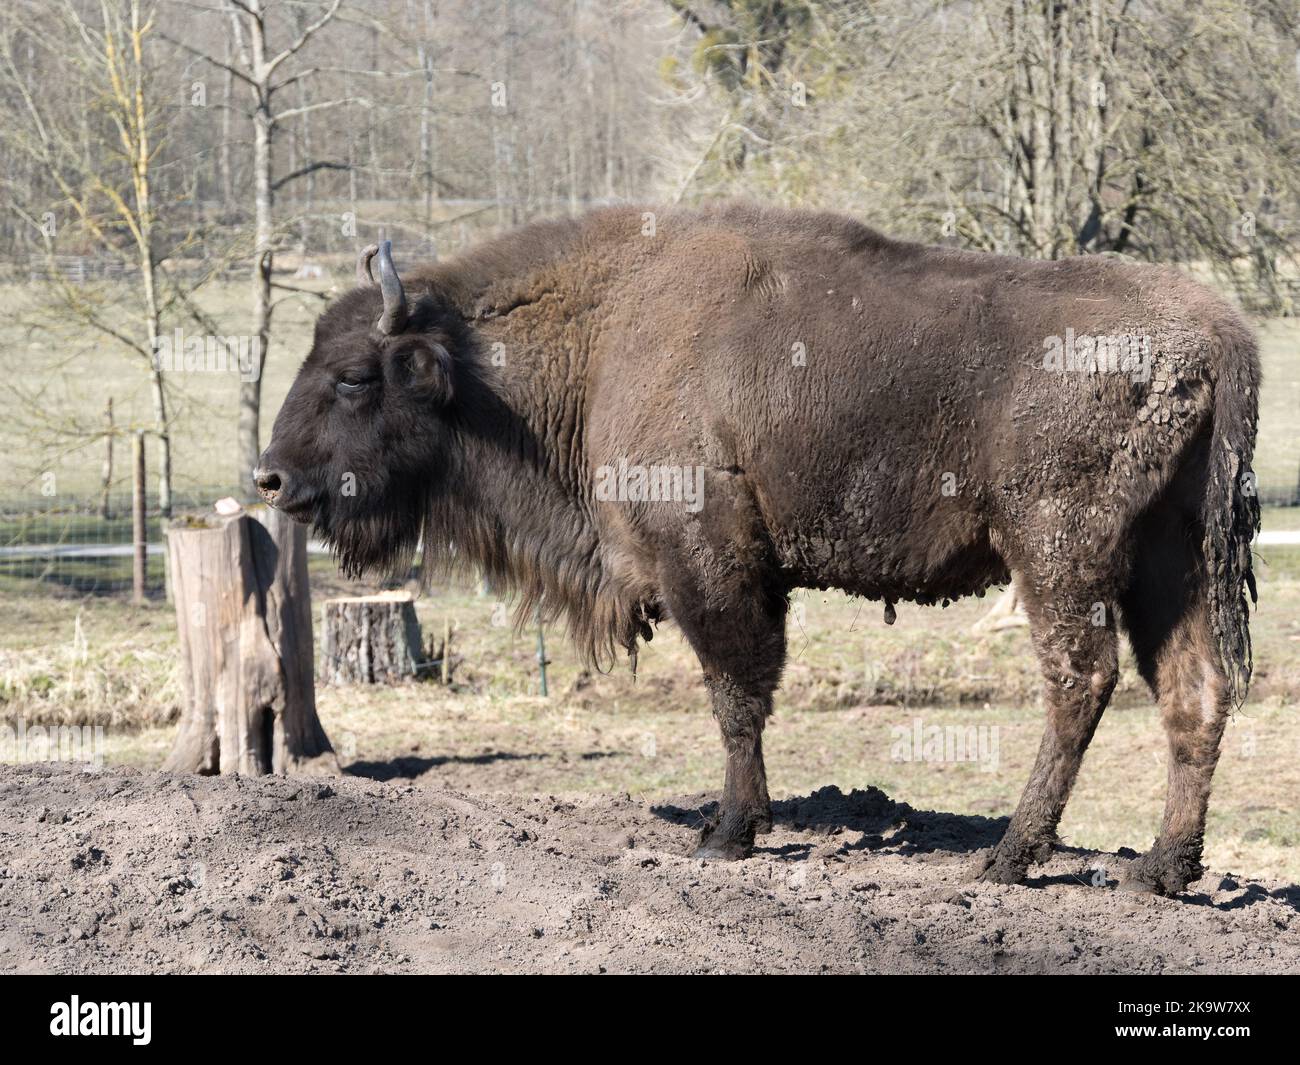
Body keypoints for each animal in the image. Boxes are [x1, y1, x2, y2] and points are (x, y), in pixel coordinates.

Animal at [257, 203, 1259, 895]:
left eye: (354, 377)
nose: (270, 477)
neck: (606, 330)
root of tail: (1217, 331)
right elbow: (749, 691)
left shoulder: (711, 564)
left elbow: (736, 694)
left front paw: (726, 832)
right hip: (1167, 560)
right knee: (1194, 690)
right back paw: (1160, 869)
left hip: (1057, 555)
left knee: (1081, 680)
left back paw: (1009, 857)